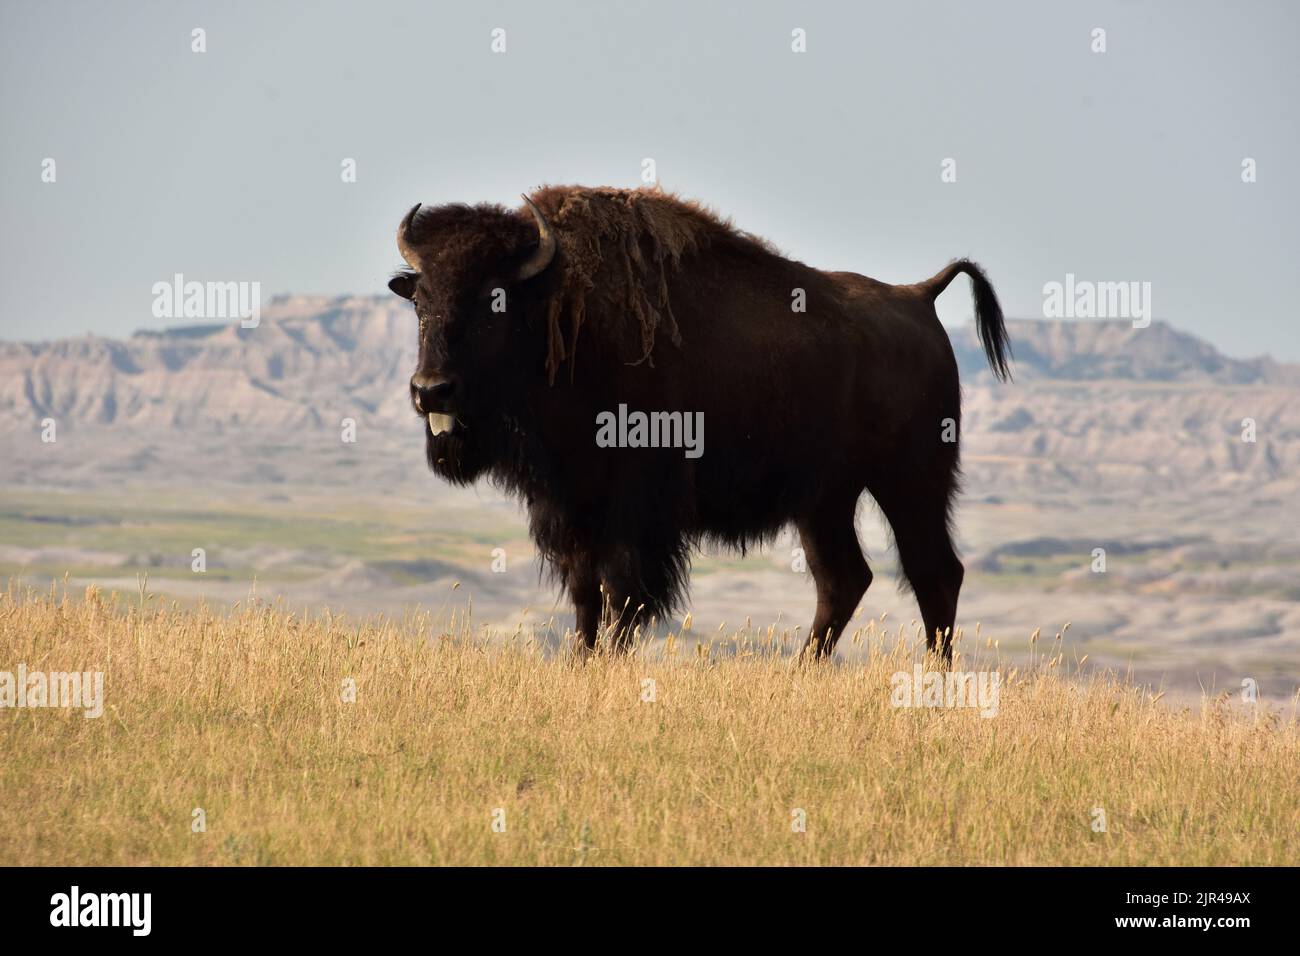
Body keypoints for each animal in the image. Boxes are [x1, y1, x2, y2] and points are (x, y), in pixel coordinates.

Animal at [388, 186, 1011, 661]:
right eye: (421, 298)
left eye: (493, 299)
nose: (430, 390)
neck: (557, 312)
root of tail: (918, 296)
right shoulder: (571, 508)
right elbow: (587, 598)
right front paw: (581, 662)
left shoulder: (635, 512)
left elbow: (622, 596)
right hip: (826, 499)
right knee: (843, 578)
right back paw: (800, 673)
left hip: (912, 481)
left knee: (933, 572)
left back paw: (932, 683)